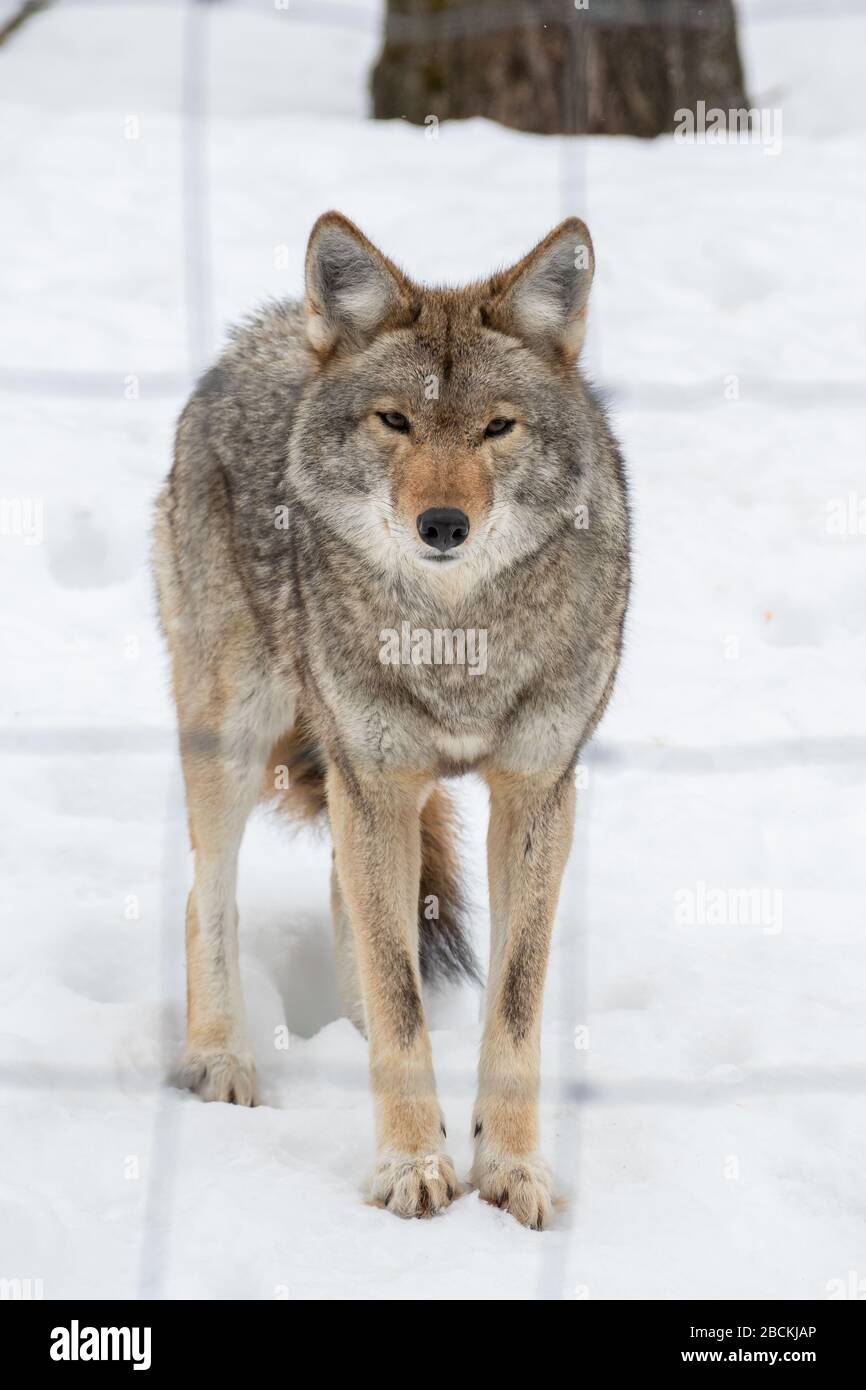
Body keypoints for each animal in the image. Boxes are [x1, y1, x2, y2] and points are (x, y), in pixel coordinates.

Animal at [152, 212, 630, 1229]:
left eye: (496, 427)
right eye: (396, 421)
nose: (442, 524)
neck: (456, 643)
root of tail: (265, 328)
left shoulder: (536, 793)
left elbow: (512, 1005)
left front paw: (511, 1169)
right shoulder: (373, 779)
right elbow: (404, 1002)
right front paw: (412, 1166)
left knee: (357, 910)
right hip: (239, 736)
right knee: (206, 893)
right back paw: (219, 1058)